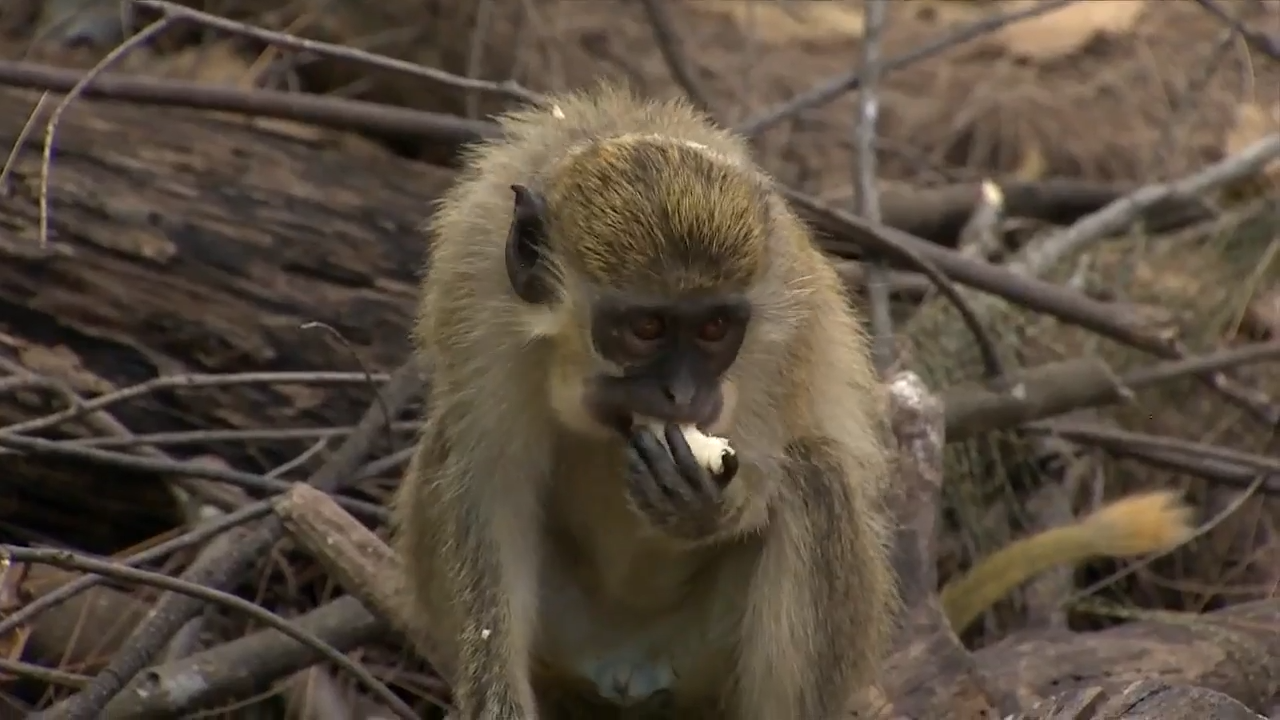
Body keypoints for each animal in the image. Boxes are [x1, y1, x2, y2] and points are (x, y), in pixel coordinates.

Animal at [390, 83, 897, 719]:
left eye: (713, 329)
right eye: (647, 328)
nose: (682, 393)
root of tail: (628, 667)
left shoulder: (785, 323)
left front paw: (707, 505)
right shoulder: (474, 292)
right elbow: (488, 492)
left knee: (816, 475)